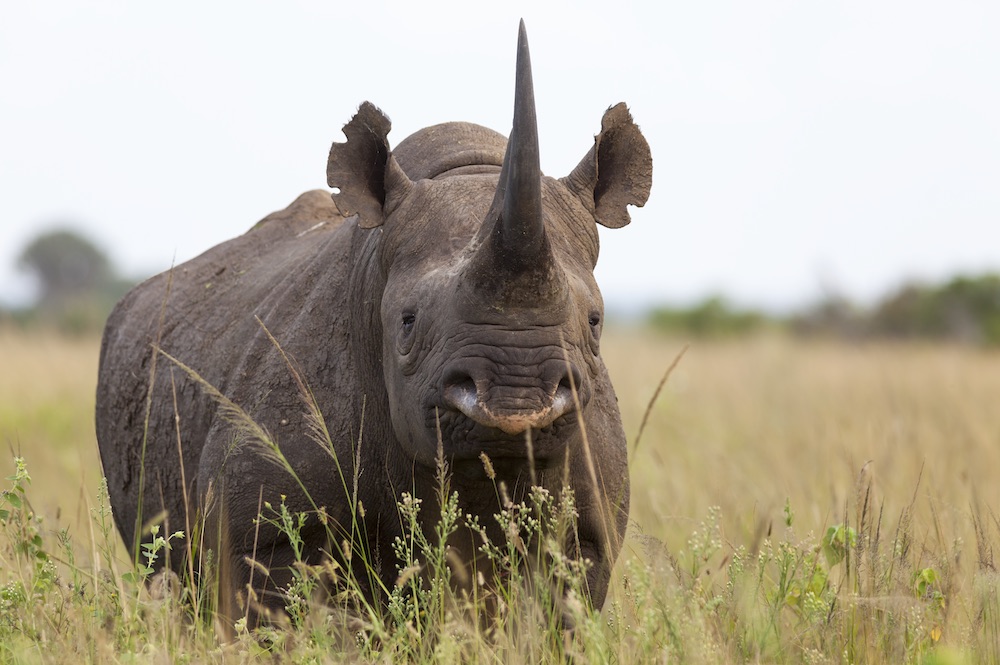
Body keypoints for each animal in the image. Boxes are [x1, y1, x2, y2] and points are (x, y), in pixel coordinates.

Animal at [95, 22, 651, 622]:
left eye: (594, 322)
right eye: (406, 323)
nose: (517, 398)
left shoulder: (587, 532)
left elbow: (553, 607)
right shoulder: (259, 527)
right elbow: (282, 608)